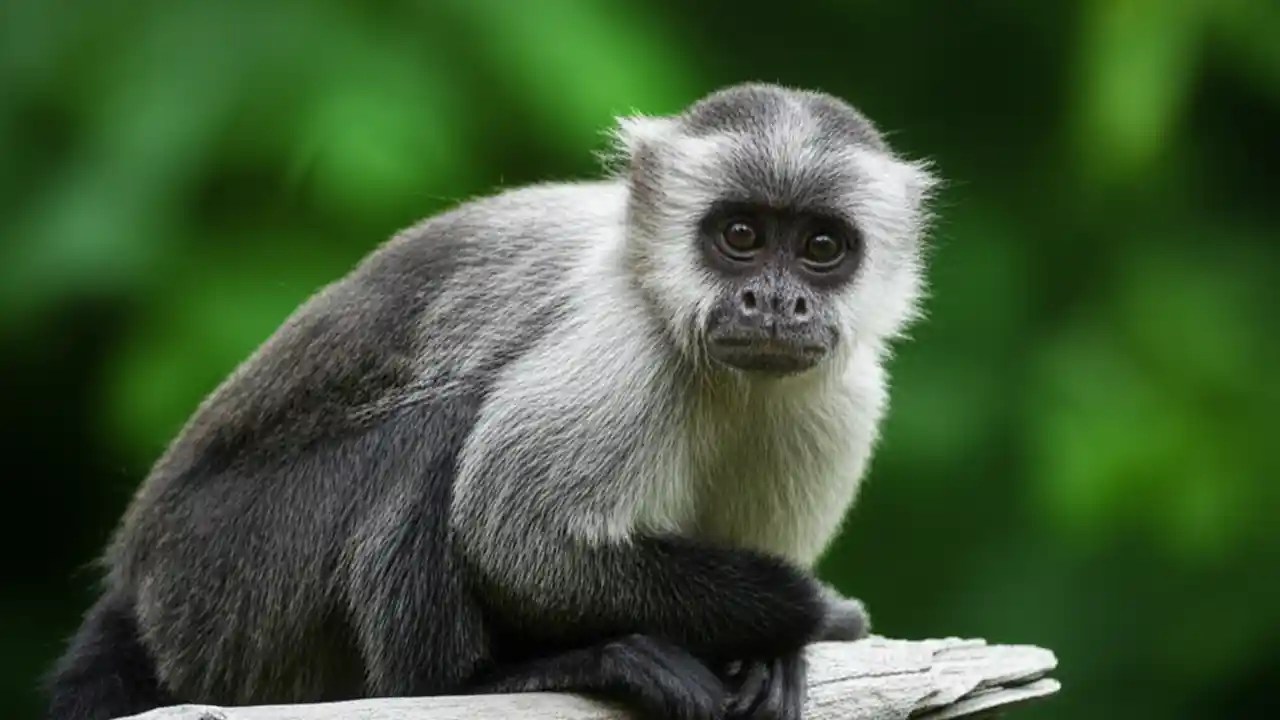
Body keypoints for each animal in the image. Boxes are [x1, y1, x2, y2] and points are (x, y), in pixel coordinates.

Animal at [46, 82, 936, 720]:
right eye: (742, 236)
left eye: (820, 247)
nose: (774, 302)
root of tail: (138, 581)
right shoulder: (621, 349)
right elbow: (517, 546)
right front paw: (798, 615)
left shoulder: (845, 400)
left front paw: (772, 650)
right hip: (220, 588)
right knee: (438, 430)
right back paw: (495, 677)